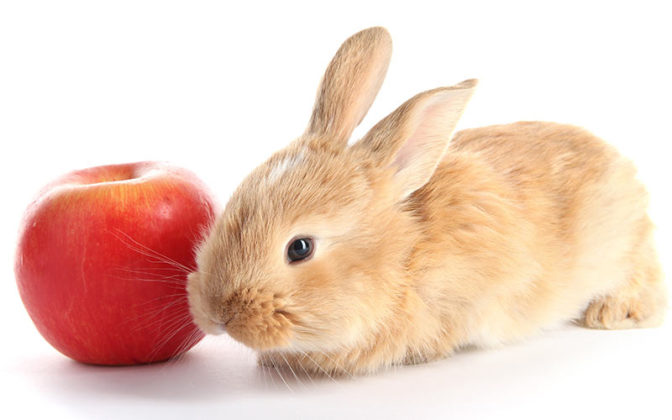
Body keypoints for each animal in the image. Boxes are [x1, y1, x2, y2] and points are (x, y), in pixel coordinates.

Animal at [186, 27, 667, 375]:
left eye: (300, 248)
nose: (216, 314)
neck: (405, 257)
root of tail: (618, 160)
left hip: (623, 251)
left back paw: (612, 312)